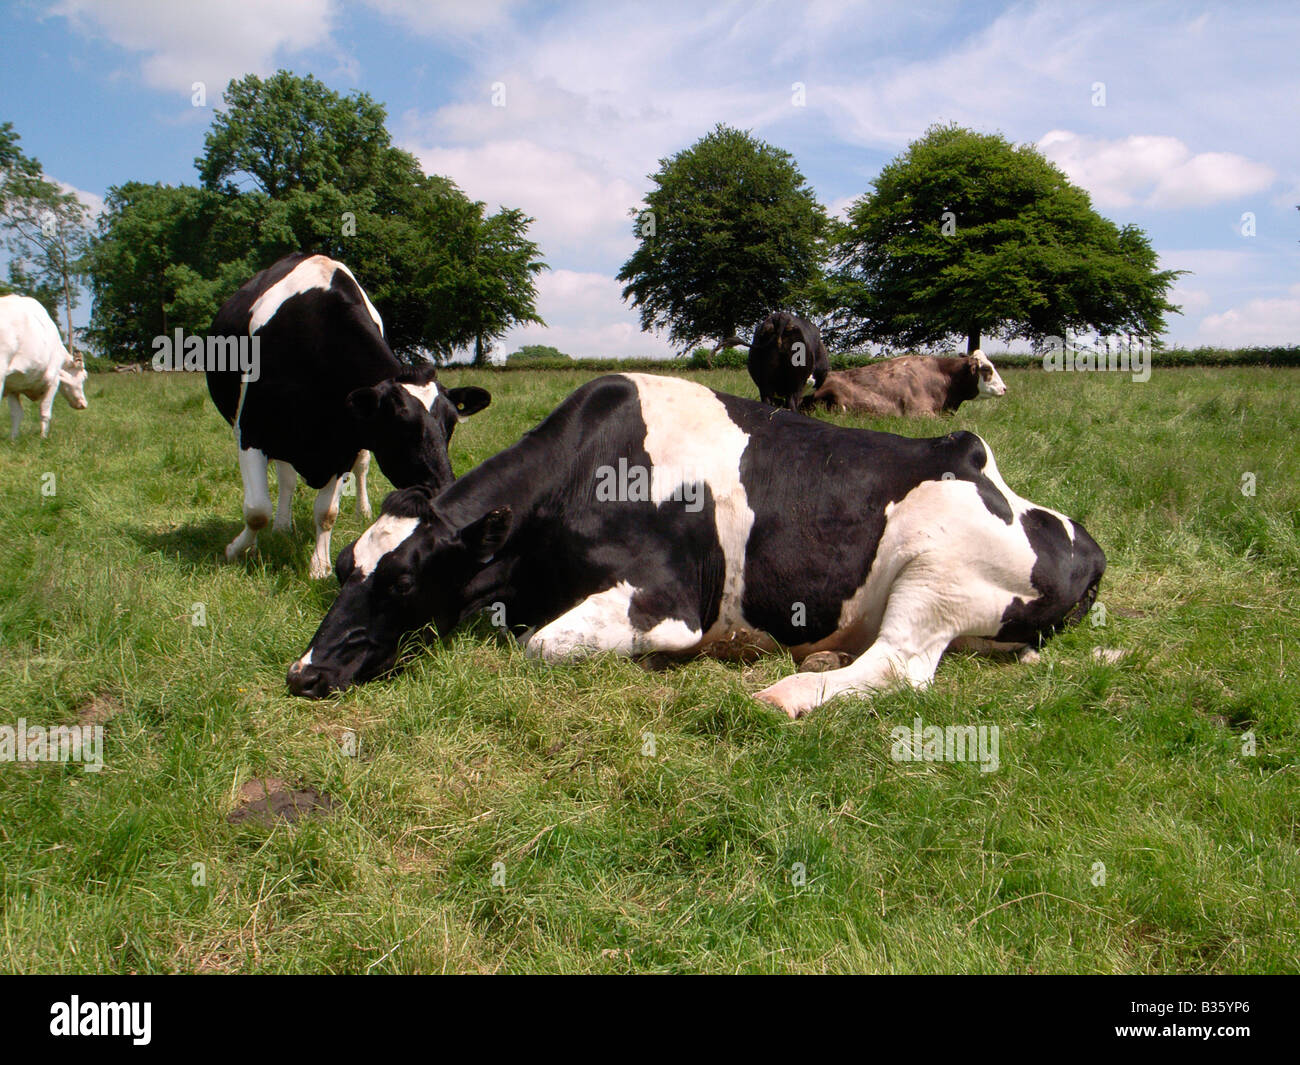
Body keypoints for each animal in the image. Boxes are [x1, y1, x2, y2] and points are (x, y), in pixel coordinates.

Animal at [0, 294, 89, 440]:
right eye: (84, 376)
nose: (83, 404)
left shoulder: (13, 386)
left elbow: (16, 414)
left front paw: (13, 439)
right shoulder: (53, 381)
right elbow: (45, 412)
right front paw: (43, 438)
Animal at [207, 253, 490, 579]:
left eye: (450, 426)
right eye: (401, 427)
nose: (444, 490)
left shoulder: (343, 444)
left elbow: (326, 512)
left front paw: (319, 566)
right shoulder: (250, 431)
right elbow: (256, 510)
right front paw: (238, 550)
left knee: (360, 468)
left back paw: (361, 511)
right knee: (286, 480)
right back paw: (282, 525)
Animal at [286, 373, 1105, 720]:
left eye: (401, 581)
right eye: (346, 569)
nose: (305, 673)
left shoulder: (669, 599)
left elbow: (539, 645)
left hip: (935, 573)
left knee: (900, 667)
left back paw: (785, 694)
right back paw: (818, 658)